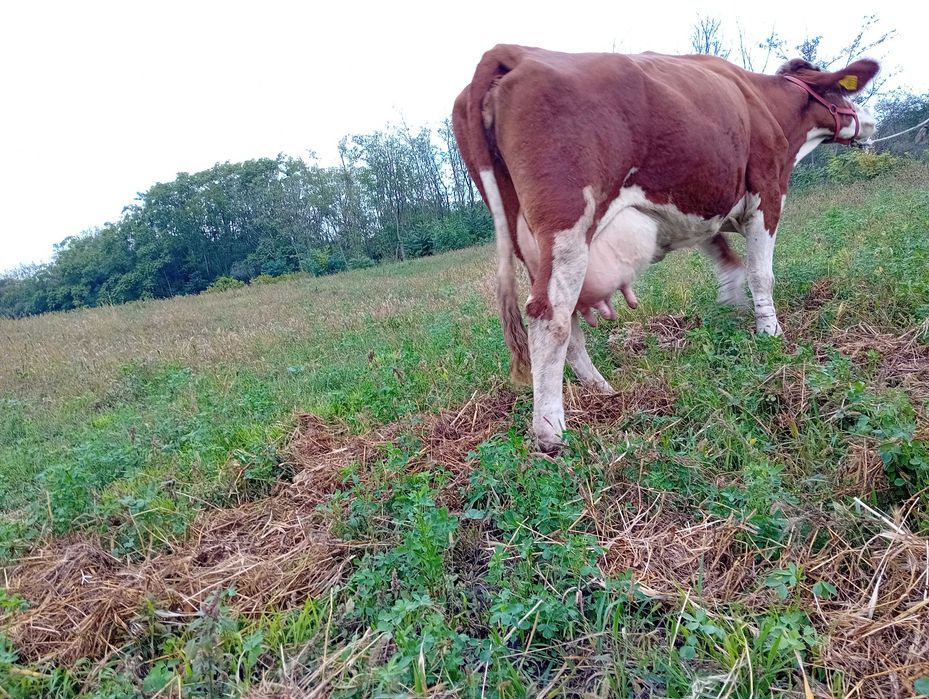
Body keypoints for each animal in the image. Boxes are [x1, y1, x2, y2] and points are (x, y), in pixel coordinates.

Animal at [452, 45, 878, 451]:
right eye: (842, 91)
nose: (870, 119)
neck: (760, 100)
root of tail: (511, 52)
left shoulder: (700, 205)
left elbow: (728, 262)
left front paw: (733, 307)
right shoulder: (767, 191)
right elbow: (761, 273)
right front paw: (769, 333)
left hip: (527, 239)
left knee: (568, 322)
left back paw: (602, 391)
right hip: (567, 223)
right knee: (550, 315)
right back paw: (551, 430)